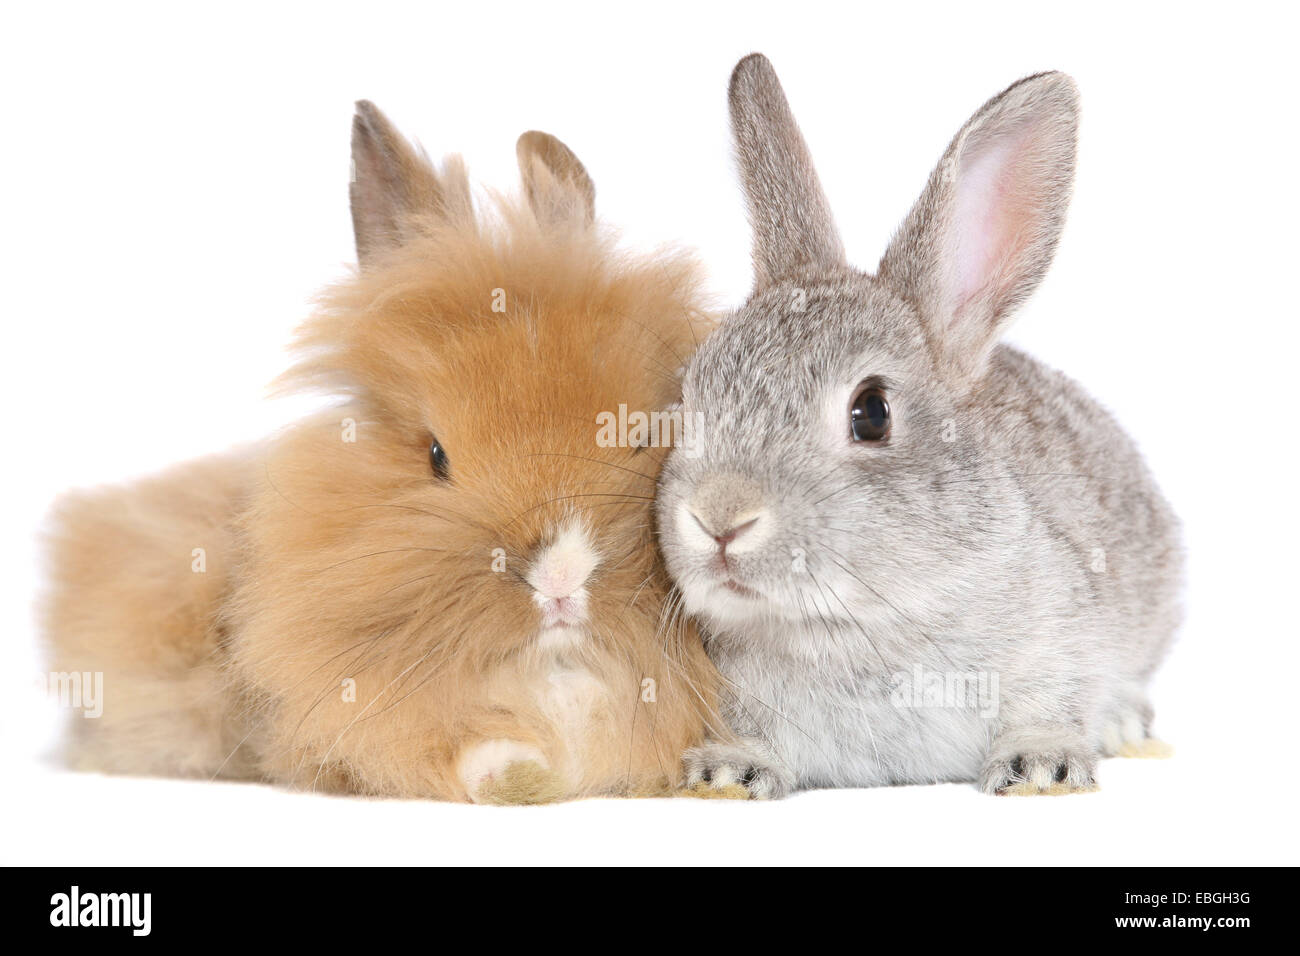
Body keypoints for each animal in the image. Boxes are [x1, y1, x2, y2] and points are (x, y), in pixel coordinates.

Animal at [657, 54, 1183, 798]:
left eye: (871, 412)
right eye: (689, 395)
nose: (720, 518)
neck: (849, 622)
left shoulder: (1060, 639)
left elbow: (1051, 705)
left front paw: (1040, 767)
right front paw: (729, 772)